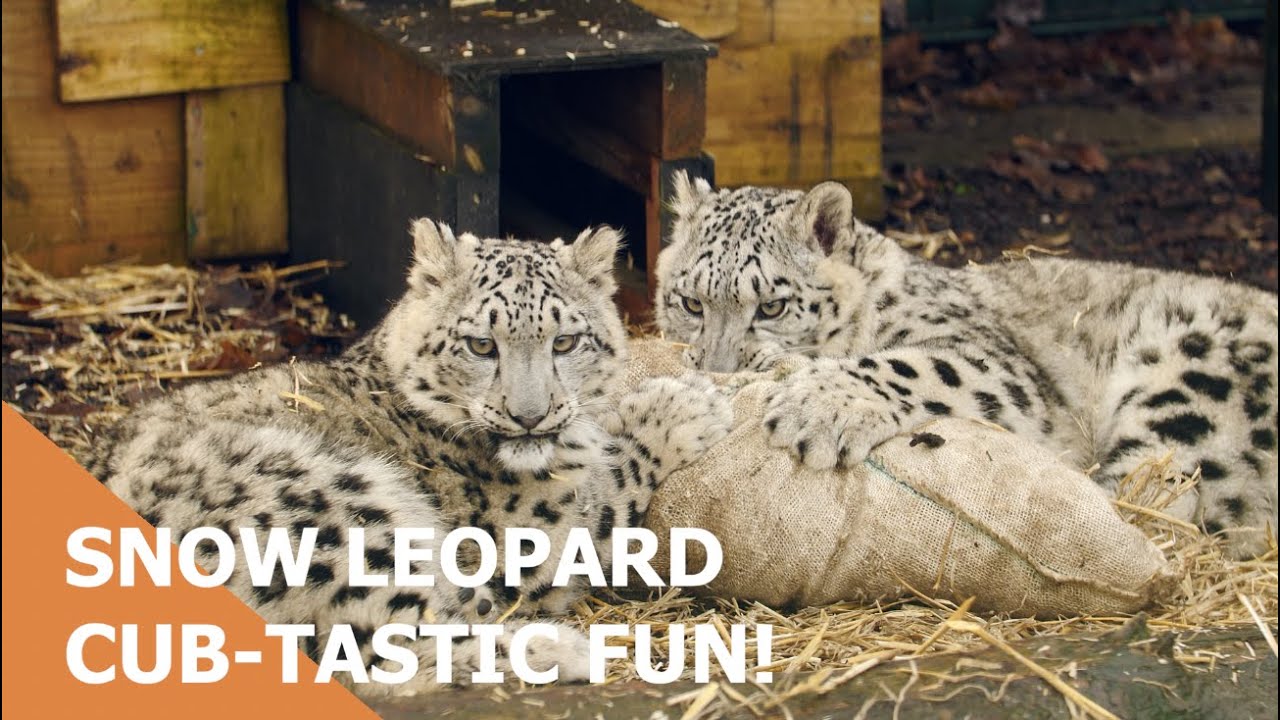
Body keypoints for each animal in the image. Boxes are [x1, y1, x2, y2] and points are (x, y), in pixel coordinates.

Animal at [79, 219, 733, 698]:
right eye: (481, 344)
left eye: (566, 342)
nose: (529, 415)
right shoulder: (531, 531)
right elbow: (609, 484)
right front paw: (683, 405)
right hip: (331, 517)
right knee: (381, 649)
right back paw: (560, 647)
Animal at [654, 173, 1277, 559]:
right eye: (690, 302)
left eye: (773, 306)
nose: (717, 366)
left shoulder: (995, 364)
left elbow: (915, 366)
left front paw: (816, 407)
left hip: (1186, 391)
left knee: (1158, 505)